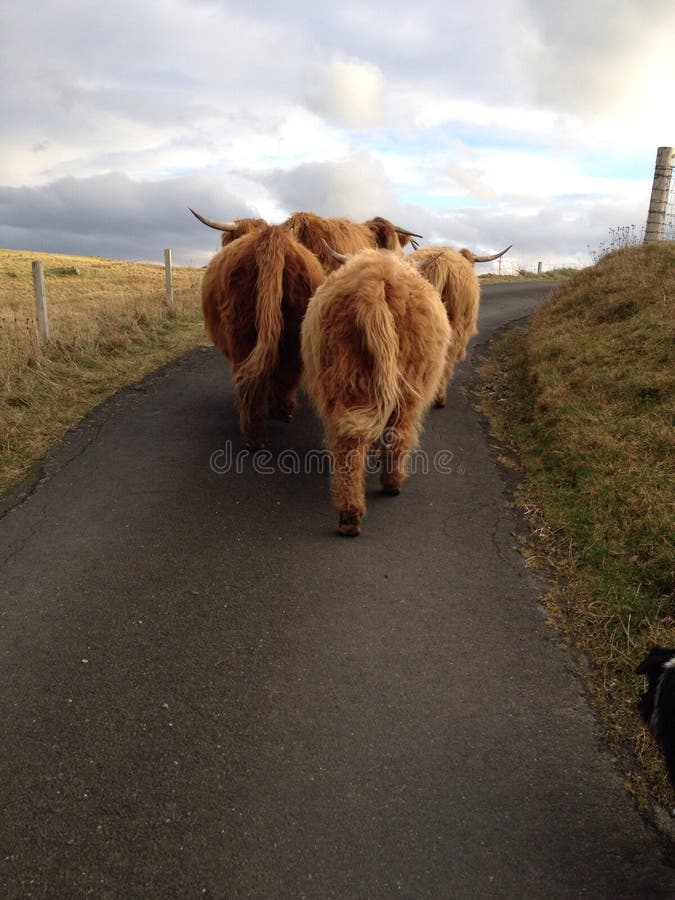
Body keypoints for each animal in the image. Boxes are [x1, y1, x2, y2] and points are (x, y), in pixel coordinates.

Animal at [201, 224, 325, 449]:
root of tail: (271, 236)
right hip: (294, 327)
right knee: (284, 372)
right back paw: (281, 412)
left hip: (241, 331)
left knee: (248, 379)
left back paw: (255, 437)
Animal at [301, 248, 451, 536]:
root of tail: (378, 277)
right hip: (407, 387)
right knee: (396, 433)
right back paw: (391, 485)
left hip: (345, 376)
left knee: (349, 443)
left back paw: (349, 516)